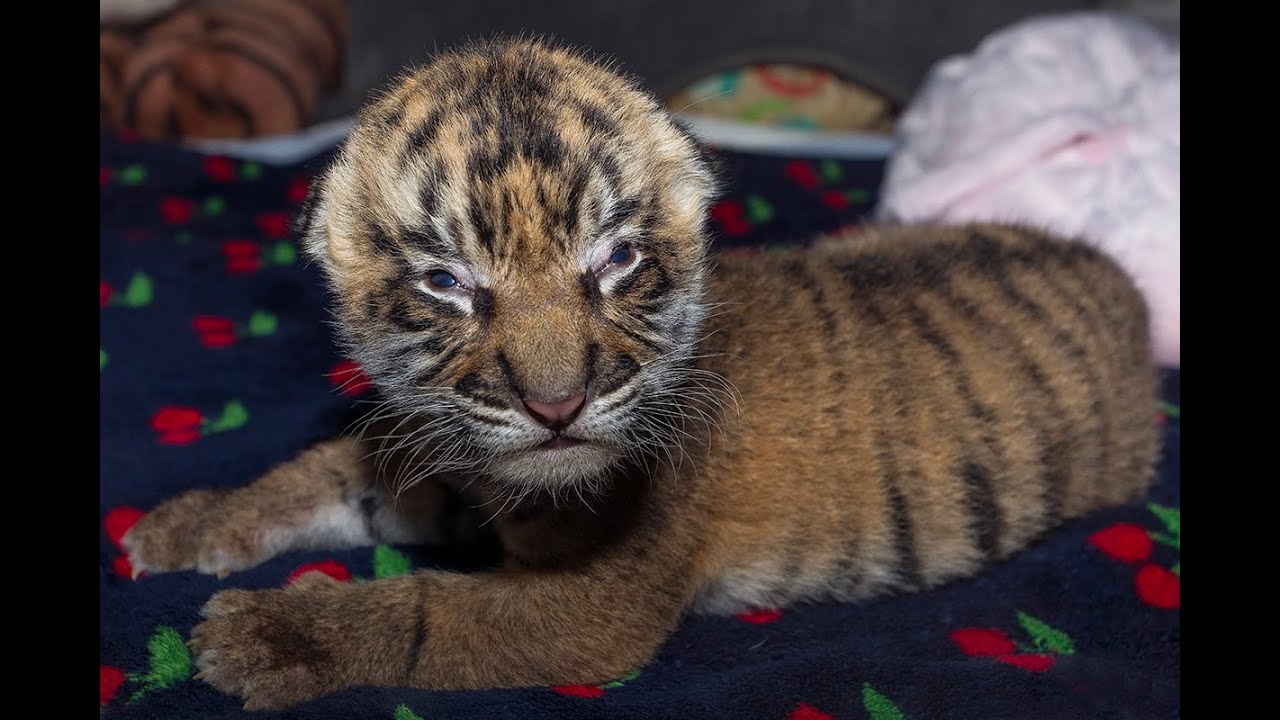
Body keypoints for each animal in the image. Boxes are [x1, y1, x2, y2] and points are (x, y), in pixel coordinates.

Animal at [120, 36, 1159, 710]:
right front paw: (185, 523)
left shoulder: (595, 599)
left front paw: (265, 635)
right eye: (447, 282)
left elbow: (430, 613)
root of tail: (1113, 275)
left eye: (615, 261)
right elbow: (320, 471)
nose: (556, 405)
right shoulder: (439, 455)